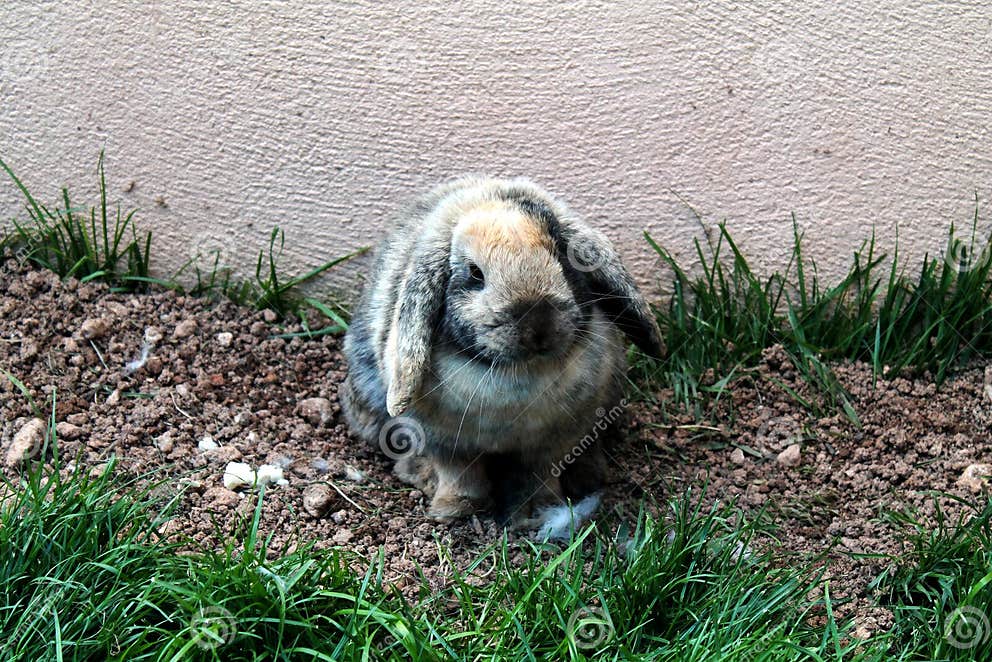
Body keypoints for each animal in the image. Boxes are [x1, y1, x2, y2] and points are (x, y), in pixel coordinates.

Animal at [339, 176, 663, 525]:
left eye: (562, 255)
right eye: (475, 273)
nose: (538, 325)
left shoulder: (551, 443)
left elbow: (538, 476)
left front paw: (537, 512)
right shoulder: (445, 445)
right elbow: (459, 477)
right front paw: (454, 510)